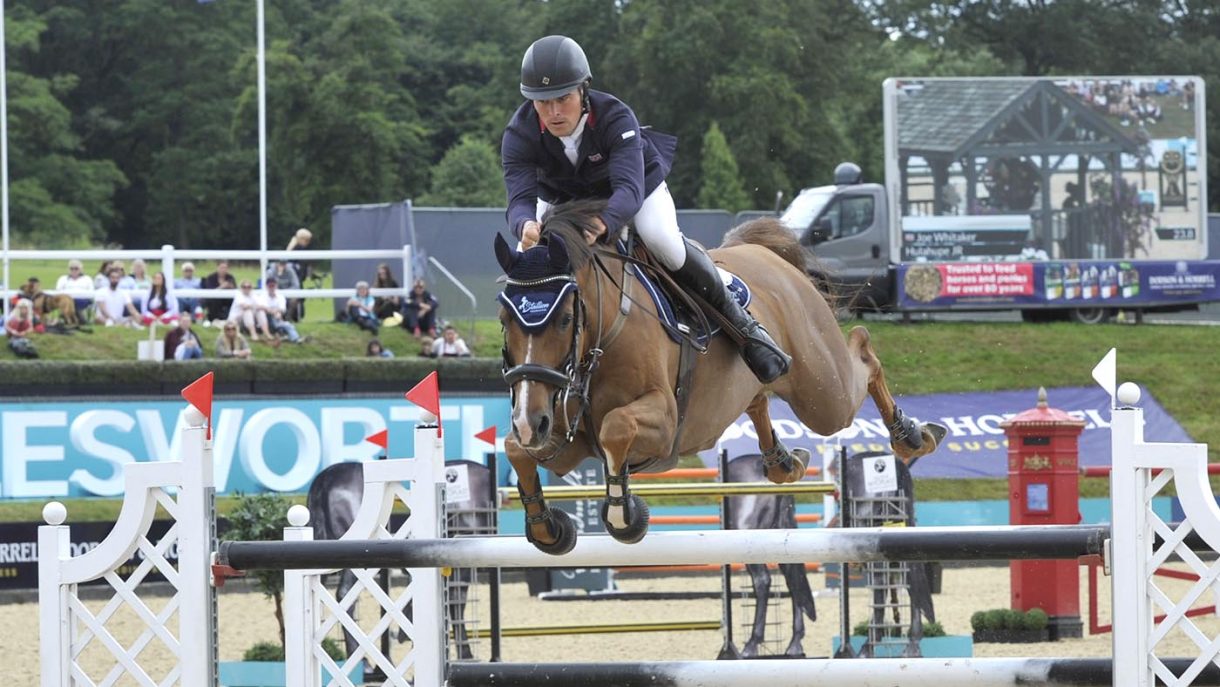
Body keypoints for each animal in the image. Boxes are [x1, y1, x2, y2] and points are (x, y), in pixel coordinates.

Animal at [306, 460, 494, 660]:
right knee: (344, 595)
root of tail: (326, 479)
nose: (401, 637)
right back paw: (363, 660)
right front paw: (465, 653)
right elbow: (457, 601)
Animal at [495, 198, 947, 554]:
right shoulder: (563, 434)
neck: (600, 337)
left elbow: (616, 428)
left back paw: (911, 434)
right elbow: (516, 448)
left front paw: (624, 514)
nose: (529, 420)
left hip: (823, 392)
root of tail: (760, 251)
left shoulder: (663, 424)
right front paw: (546, 526)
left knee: (863, 353)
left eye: (564, 318)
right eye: (504, 320)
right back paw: (783, 461)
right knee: (758, 398)